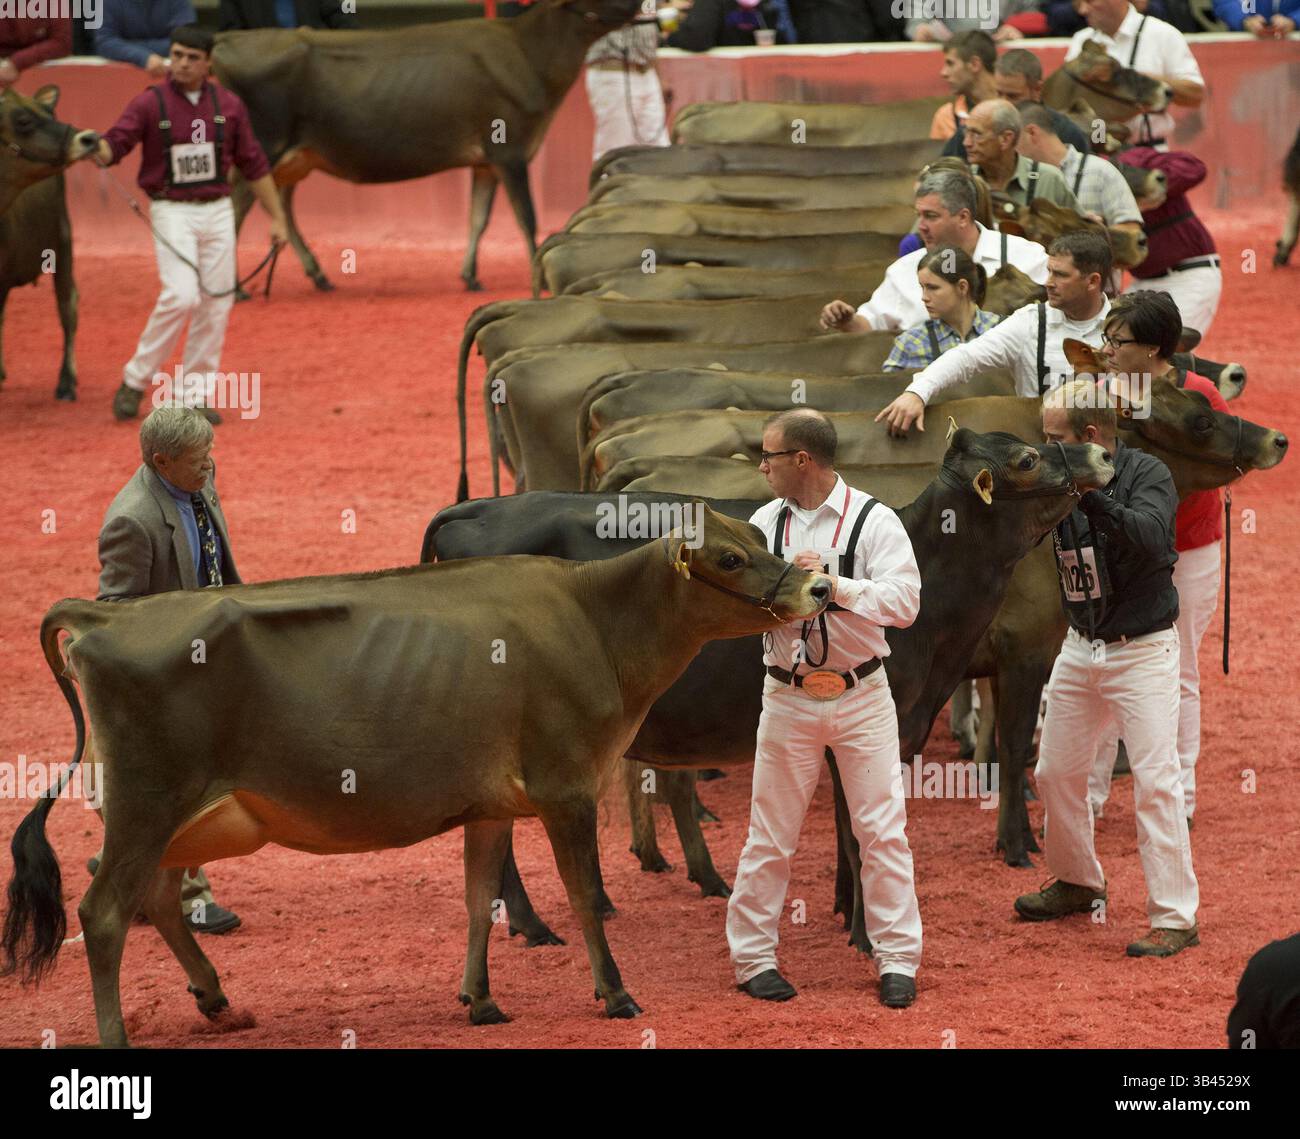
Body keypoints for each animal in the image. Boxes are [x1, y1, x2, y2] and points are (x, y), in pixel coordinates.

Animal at [0, 87, 99, 400]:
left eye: (50, 113)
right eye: (23, 121)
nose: (88, 138)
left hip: (63, 243)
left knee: (67, 307)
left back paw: (66, 382)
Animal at [1, 508, 830, 1044]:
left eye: (761, 537)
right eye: (728, 558)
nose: (817, 588)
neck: (594, 619)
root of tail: (108, 617)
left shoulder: (492, 803)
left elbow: (478, 900)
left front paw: (480, 999)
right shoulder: (566, 785)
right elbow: (586, 898)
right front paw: (616, 990)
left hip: (188, 816)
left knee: (158, 898)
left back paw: (218, 999)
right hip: (147, 802)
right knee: (104, 911)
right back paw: (119, 1036)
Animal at [209, 0, 643, 293]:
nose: (640, 2)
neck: (530, 53)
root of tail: (227, 40)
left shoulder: (485, 161)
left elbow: (478, 219)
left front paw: (470, 276)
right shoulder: (510, 150)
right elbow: (527, 217)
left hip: (296, 156)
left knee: (281, 207)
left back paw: (317, 275)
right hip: (265, 146)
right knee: (237, 207)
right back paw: (237, 287)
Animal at [423, 430, 1115, 946]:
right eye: (1027, 459)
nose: (1102, 452)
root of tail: (474, 508)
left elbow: (846, 829)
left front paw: (843, 907)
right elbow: (860, 829)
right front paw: (866, 932)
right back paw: (532, 922)